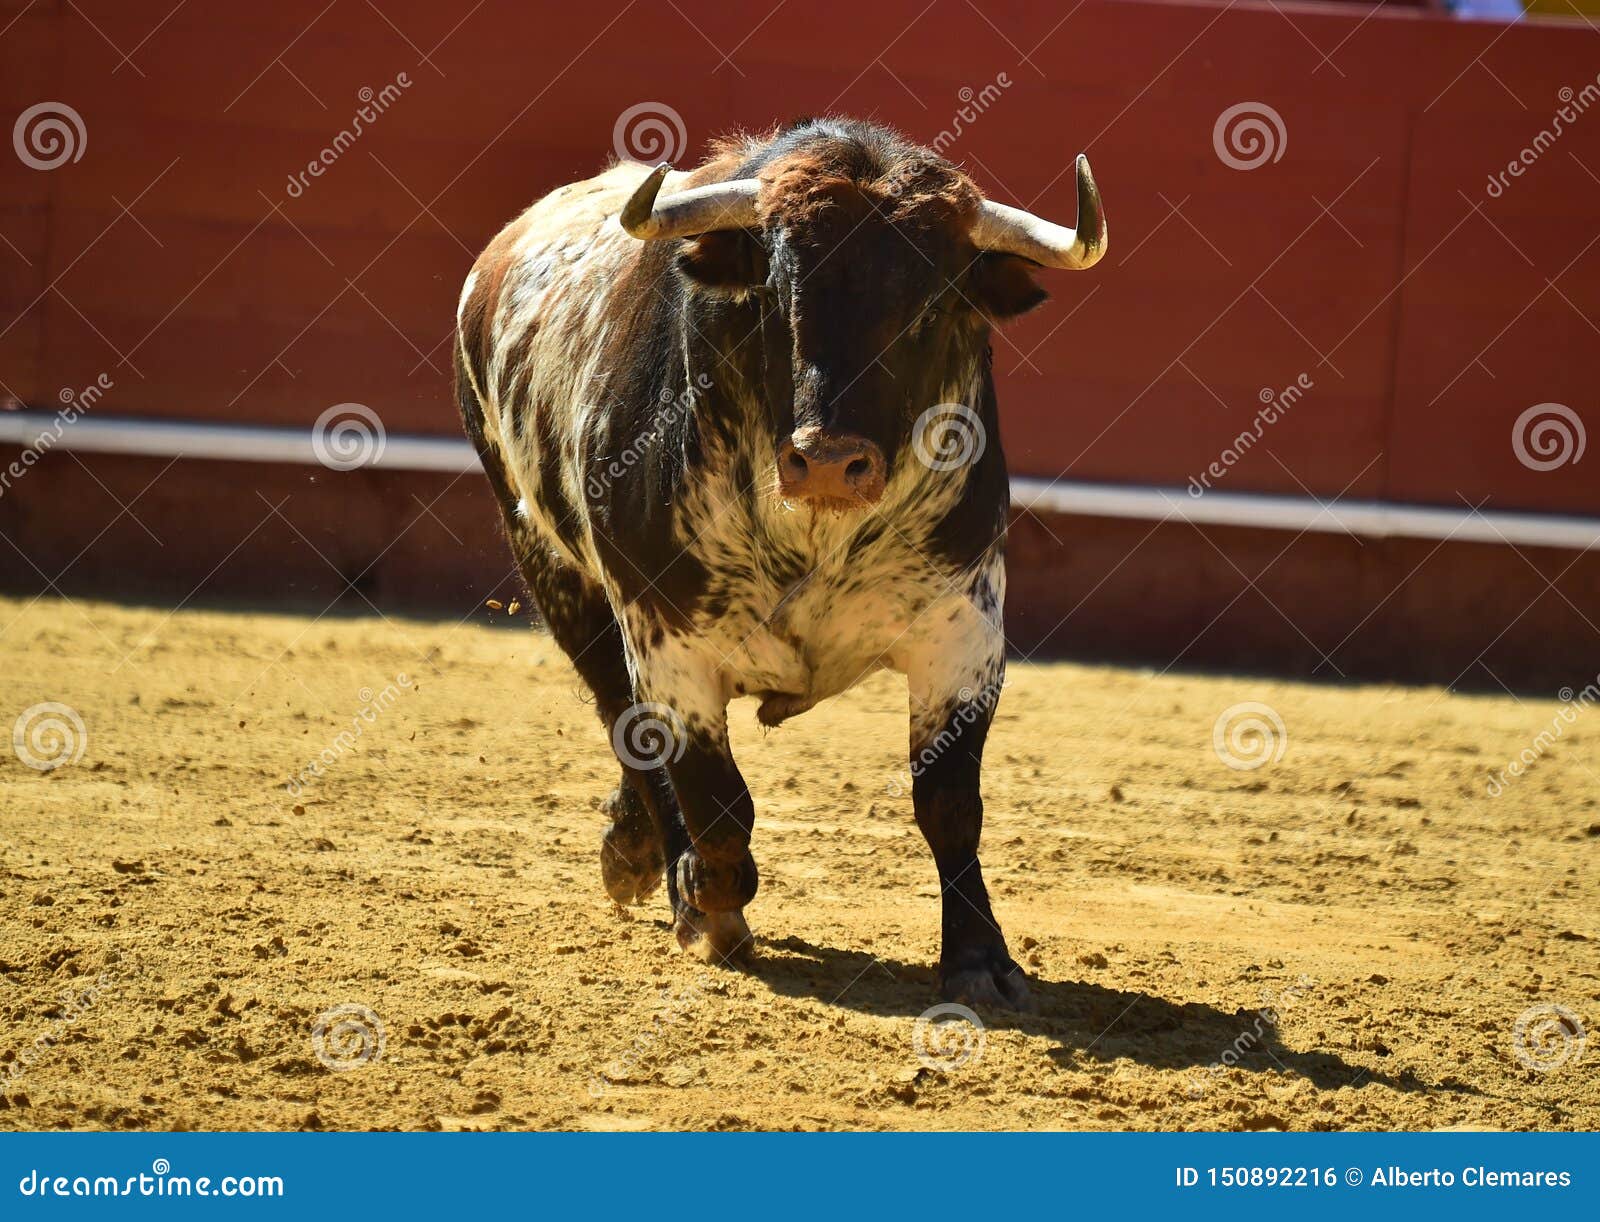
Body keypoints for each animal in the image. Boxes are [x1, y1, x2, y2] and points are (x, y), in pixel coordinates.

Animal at [454, 117, 1106, 1010]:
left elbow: (949, 802)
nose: (828, 461)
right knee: (624, 718)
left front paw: (980, 959)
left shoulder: (963, 629)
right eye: (770, 292)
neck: (816, 536)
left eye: (937, 302)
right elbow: (713, 795)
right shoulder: (667, 639)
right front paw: (711, 905)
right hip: (554, 570)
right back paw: (662, 870)